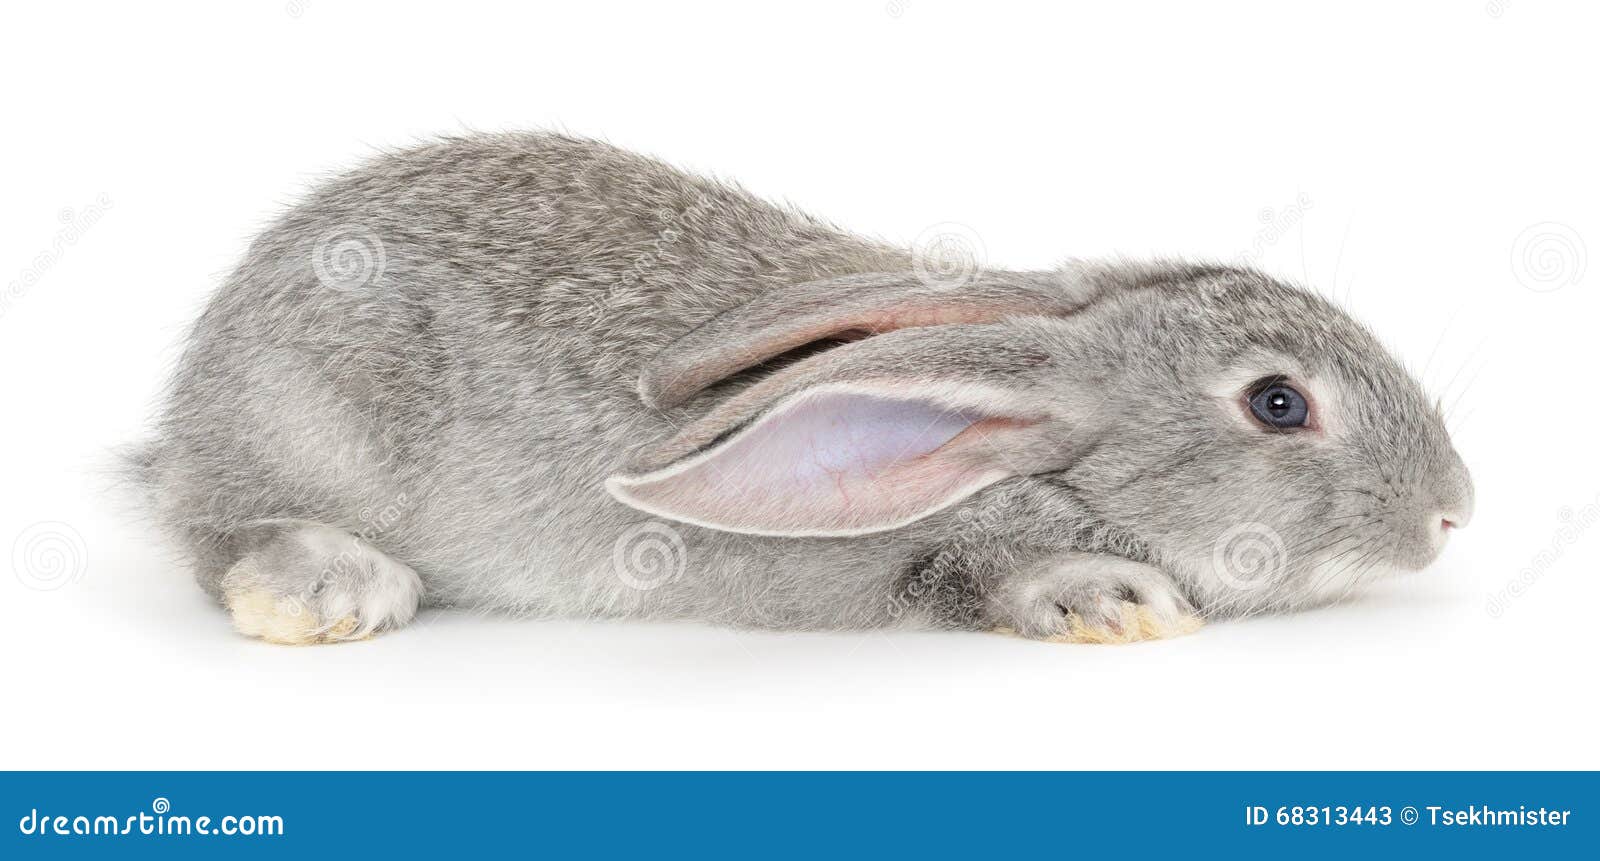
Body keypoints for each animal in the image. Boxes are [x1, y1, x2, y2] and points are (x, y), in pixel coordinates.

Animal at [136, 132, 1473, 645]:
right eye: (1278, 404)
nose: (1453, 509)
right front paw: (1117, 602)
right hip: (303, 422)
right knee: (214, 531)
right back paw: (325, 586)